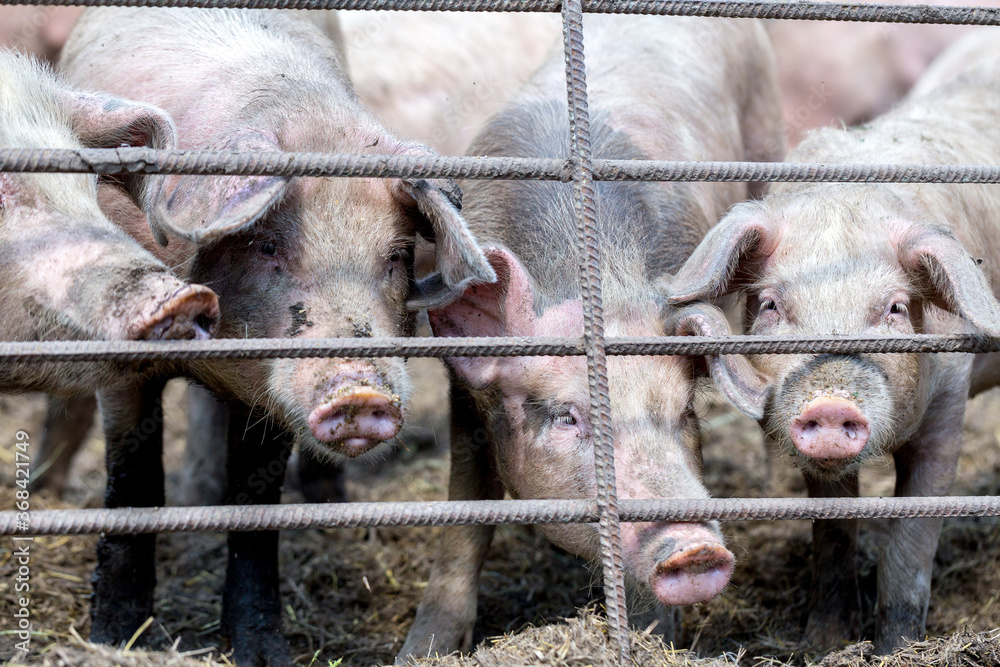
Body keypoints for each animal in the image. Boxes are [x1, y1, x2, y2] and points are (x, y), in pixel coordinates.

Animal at [60, 8, 495, 665]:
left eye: (396, 256)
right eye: (266, 246)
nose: (360, 394)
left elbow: (256, 504)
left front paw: (263, 653)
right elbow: (132, 483)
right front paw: (116, 639)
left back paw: (325, 504)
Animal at [398, 15, 785, 660]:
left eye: (684, 413)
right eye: (566, 417)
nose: (695, 546)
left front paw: (655, 641)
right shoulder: (465, 394)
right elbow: (467, 514)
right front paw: (421, 651)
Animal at [668, 28, 1000, 654]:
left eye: (895, 308)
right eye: (772, 305)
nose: (828, 403)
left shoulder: (950, 403)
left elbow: (910, 545)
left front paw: (895, 650)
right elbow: (833, 530)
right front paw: (821, 646)